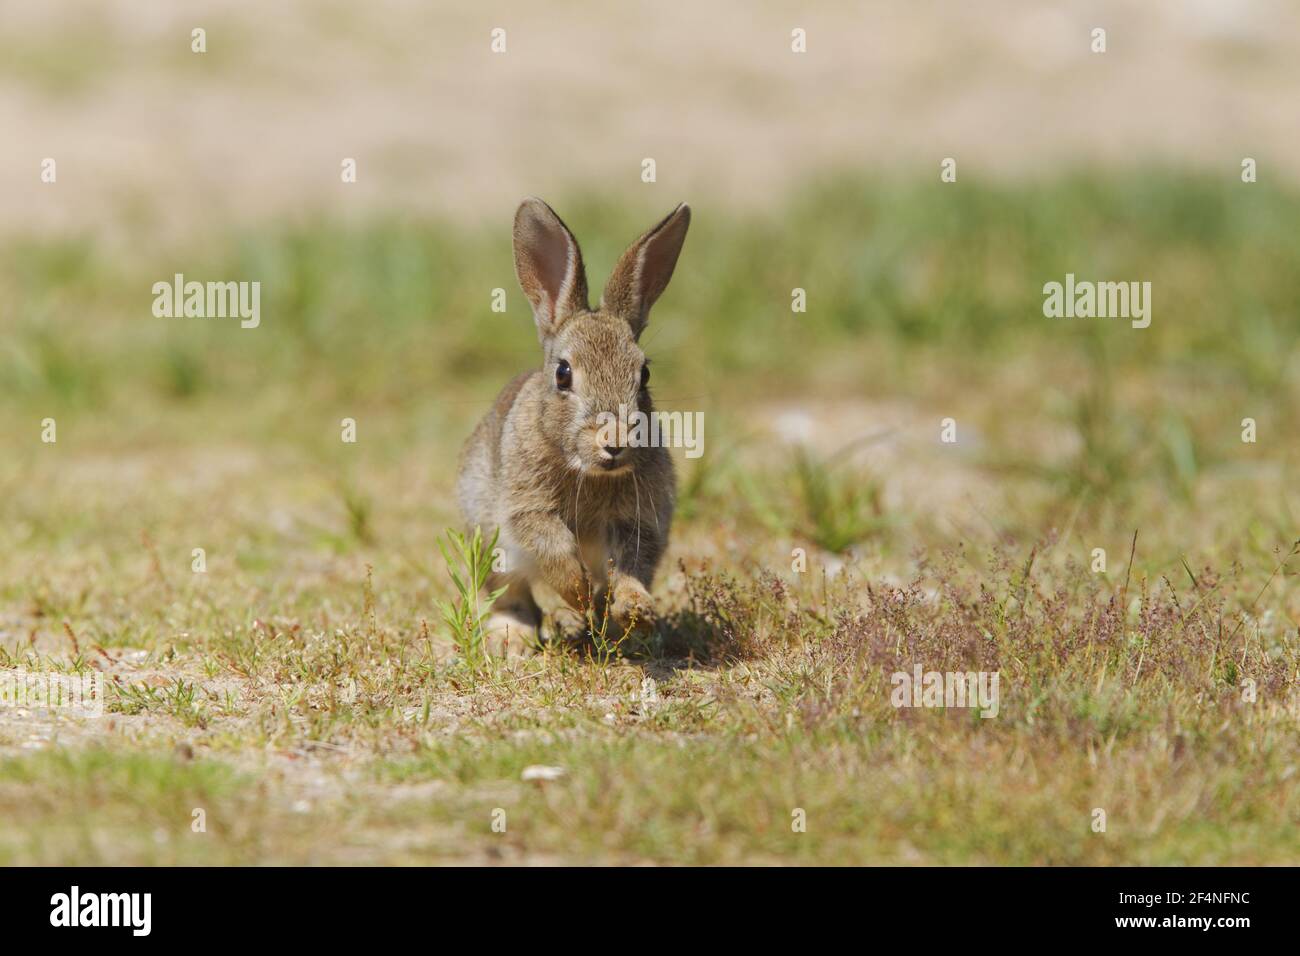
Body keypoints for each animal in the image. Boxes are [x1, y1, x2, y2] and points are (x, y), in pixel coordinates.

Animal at [457, 197, 691, 655]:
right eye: (563, 374)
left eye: (644, 375)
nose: (614, 441)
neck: (590, 470)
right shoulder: (524, 509)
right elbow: (550, 542)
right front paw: (576, 589)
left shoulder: (640, 519)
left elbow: (631, 564)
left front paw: (636, 608)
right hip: (487, 539)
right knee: (510, 595)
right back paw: (522, 636)